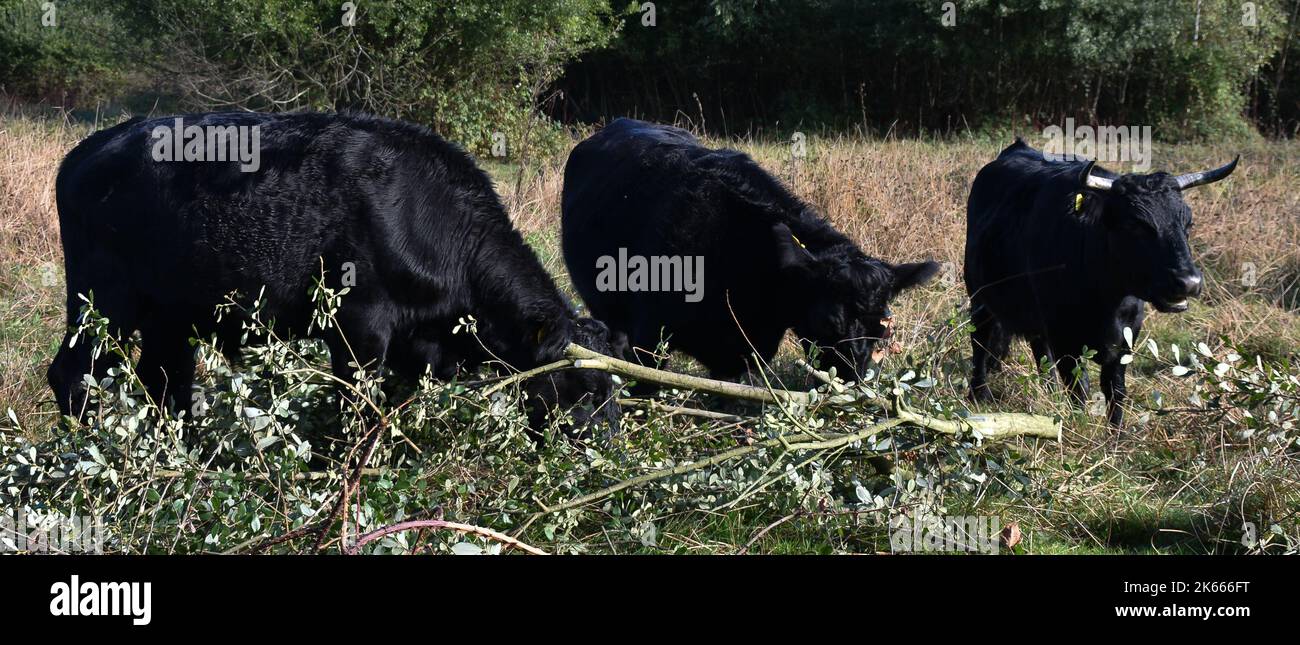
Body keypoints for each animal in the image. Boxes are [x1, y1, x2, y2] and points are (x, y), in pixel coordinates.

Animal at [48, 111, 621, 435]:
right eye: (584, 387)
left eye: (618, 393)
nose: (606, 449)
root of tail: (86, 150)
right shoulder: (358, 326)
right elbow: (358, 414)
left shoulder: (421, 345)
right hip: (103, 302)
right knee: (72, 375)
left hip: (169, 314)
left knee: (165, 382)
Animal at [964, 138, 1238, 427]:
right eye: (1136, 223)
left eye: (1188, 223)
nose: (1189, 282)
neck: (1106, 298)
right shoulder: (1065, 336)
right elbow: (1079, 387)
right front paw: (1079, 424)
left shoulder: (1127, 336)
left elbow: (1115, 389)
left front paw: (1117, 432)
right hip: (979, 295)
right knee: (980, 340)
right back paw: (979, 394)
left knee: (1040, 352)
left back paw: (1049, 392)